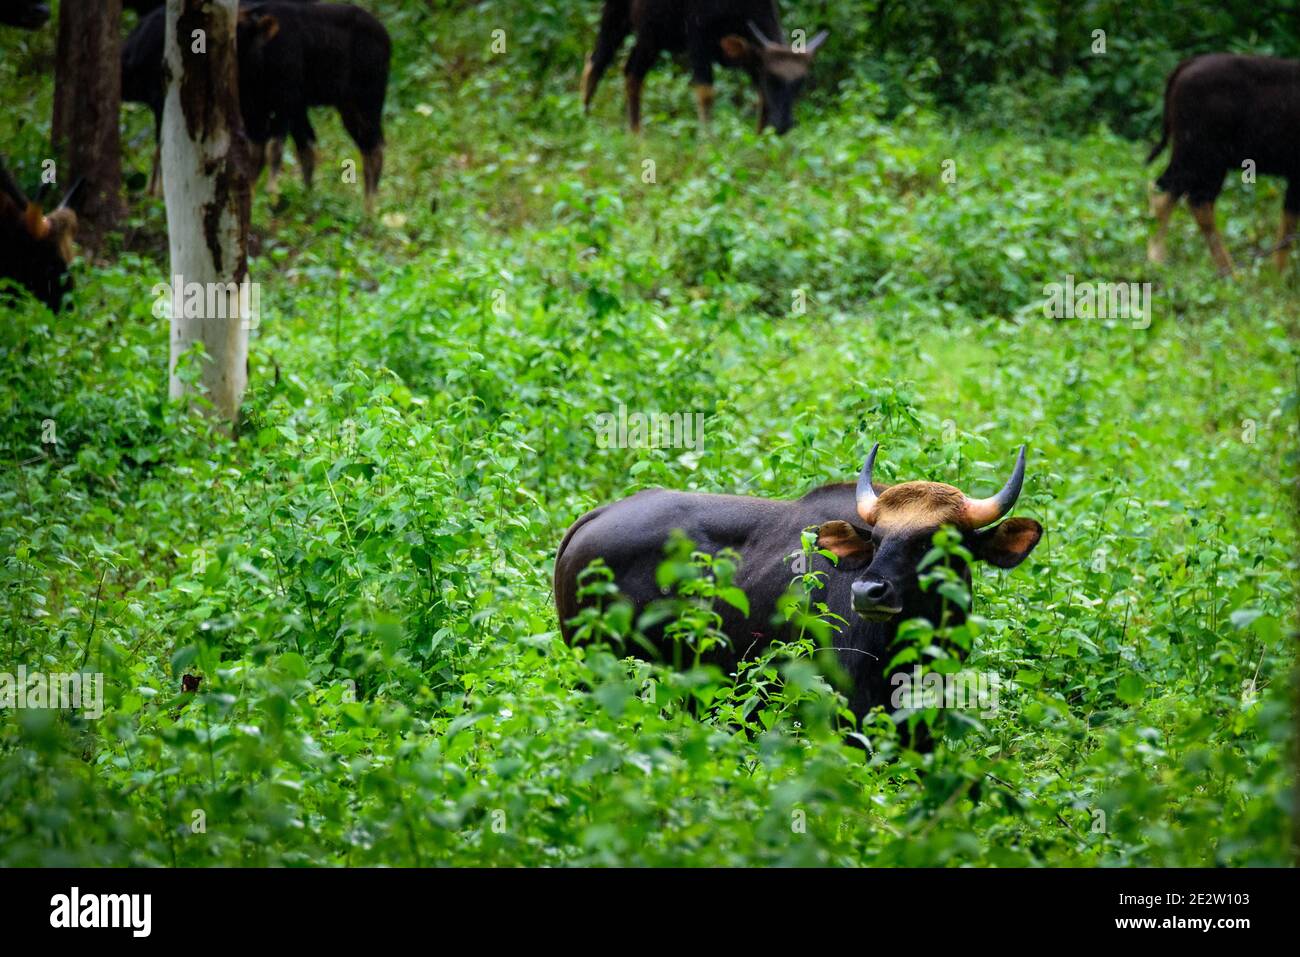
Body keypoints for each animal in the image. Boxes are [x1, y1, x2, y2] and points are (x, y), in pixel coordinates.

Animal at [581, 0, 828, 135]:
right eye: (771, 79)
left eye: (800, 83)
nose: (784, 125)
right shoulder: (698, 40)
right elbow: (705, 93)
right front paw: (708, 145)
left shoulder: (752, 58)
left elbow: (763, 100)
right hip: (618, 15)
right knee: (597, 62)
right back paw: (583, 119)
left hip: (652, 35)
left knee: (632, 72)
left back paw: (636, 136)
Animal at [1147, 53, 1300, 274]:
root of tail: (1186, 65)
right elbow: (1288, 228)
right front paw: (1277, 277)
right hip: (1202, 156)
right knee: (1190, 199)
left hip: (1197, 157)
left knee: (1172, 192)